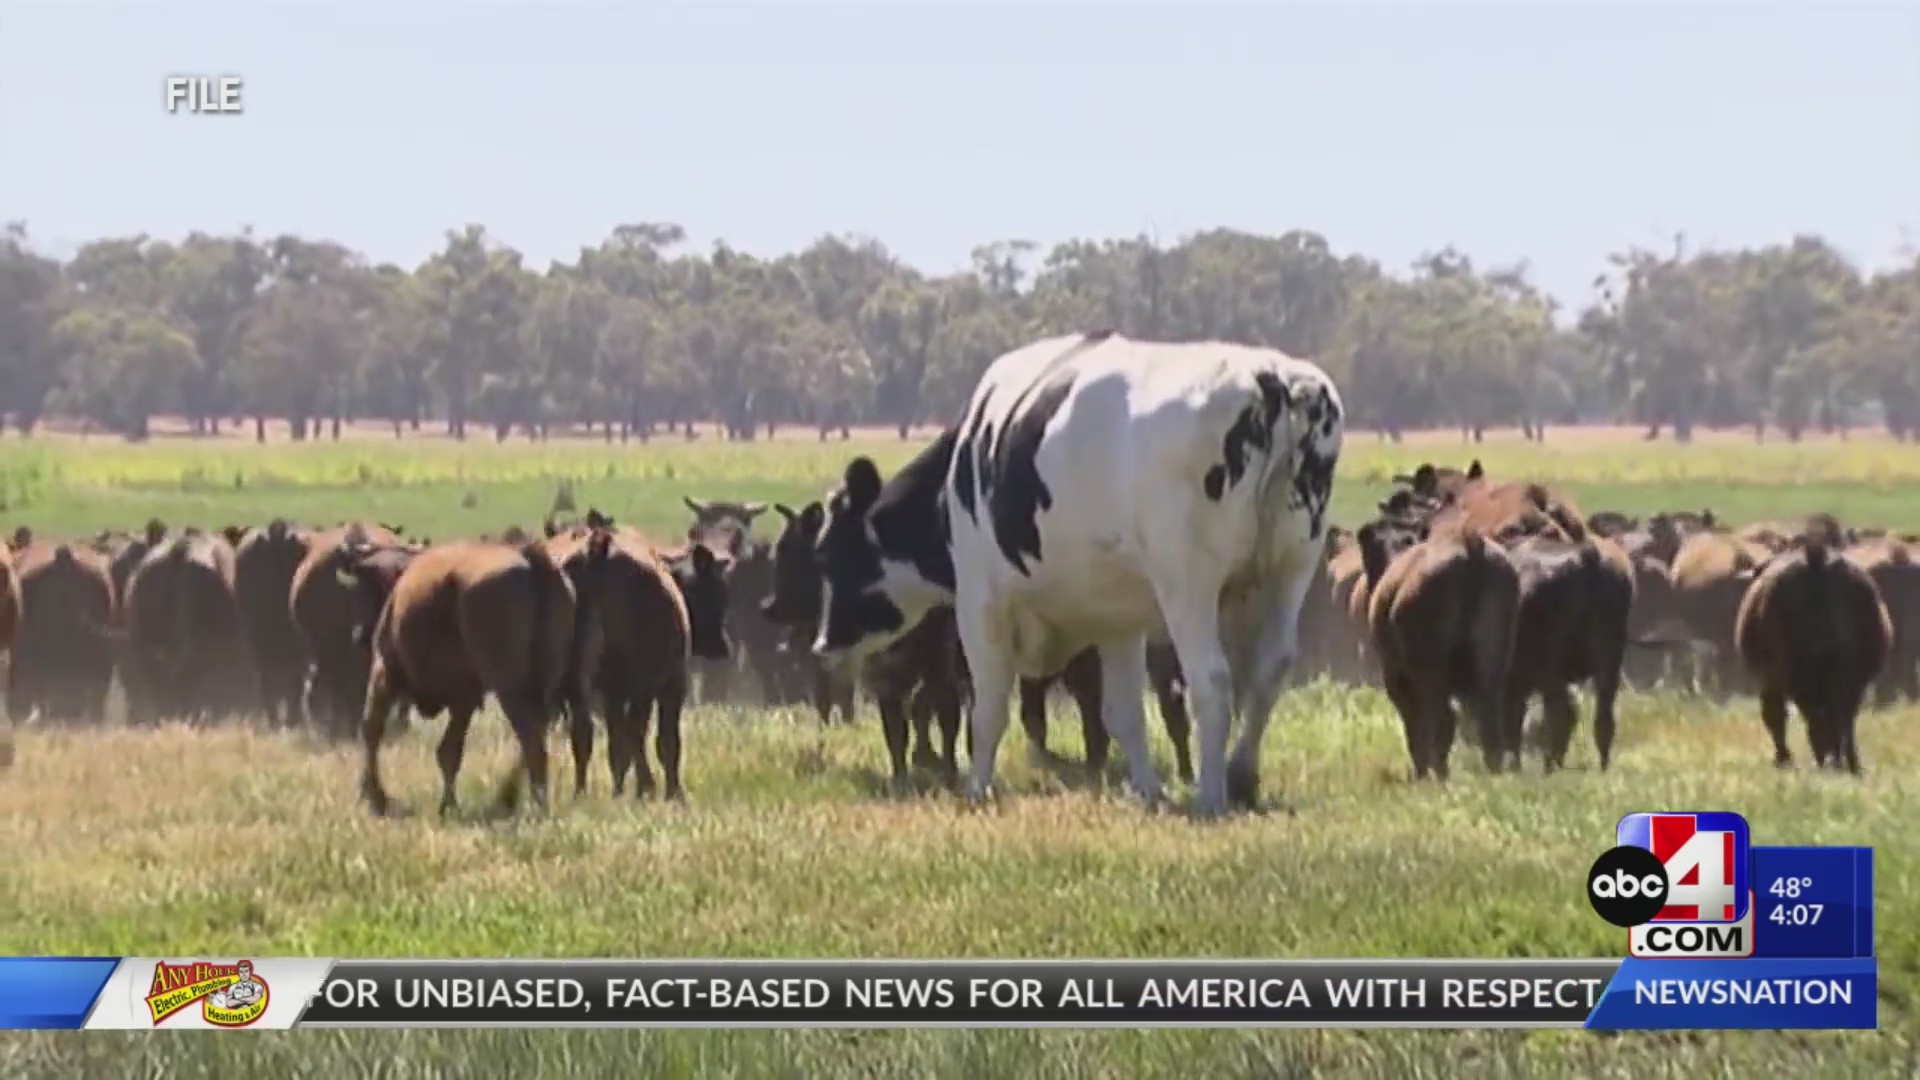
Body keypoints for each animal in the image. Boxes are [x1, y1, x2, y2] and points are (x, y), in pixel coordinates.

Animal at [811, 330, 1344, 817]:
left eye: (830, 554)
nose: (821, 647)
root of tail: (1271, 377)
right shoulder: (1120, 617)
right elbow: (1123, 711)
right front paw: (1148, 791)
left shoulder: (981, 601)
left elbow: (987, 708)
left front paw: (978, 789)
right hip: (1293, 566)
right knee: (1271, 666)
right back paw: (1241, 777)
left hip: (1188, 581)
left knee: (1211, 679)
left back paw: (1210, 797)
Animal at [1734, 540, 1891, 774]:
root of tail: (1816, 561)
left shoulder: (1772, 681)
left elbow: (1775, 716)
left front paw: (1784, 759)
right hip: (1846, 677)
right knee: (1840, 717)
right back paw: (1846, 762)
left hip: (1795, 675)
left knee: (1814, 717)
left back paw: (1824, 759)